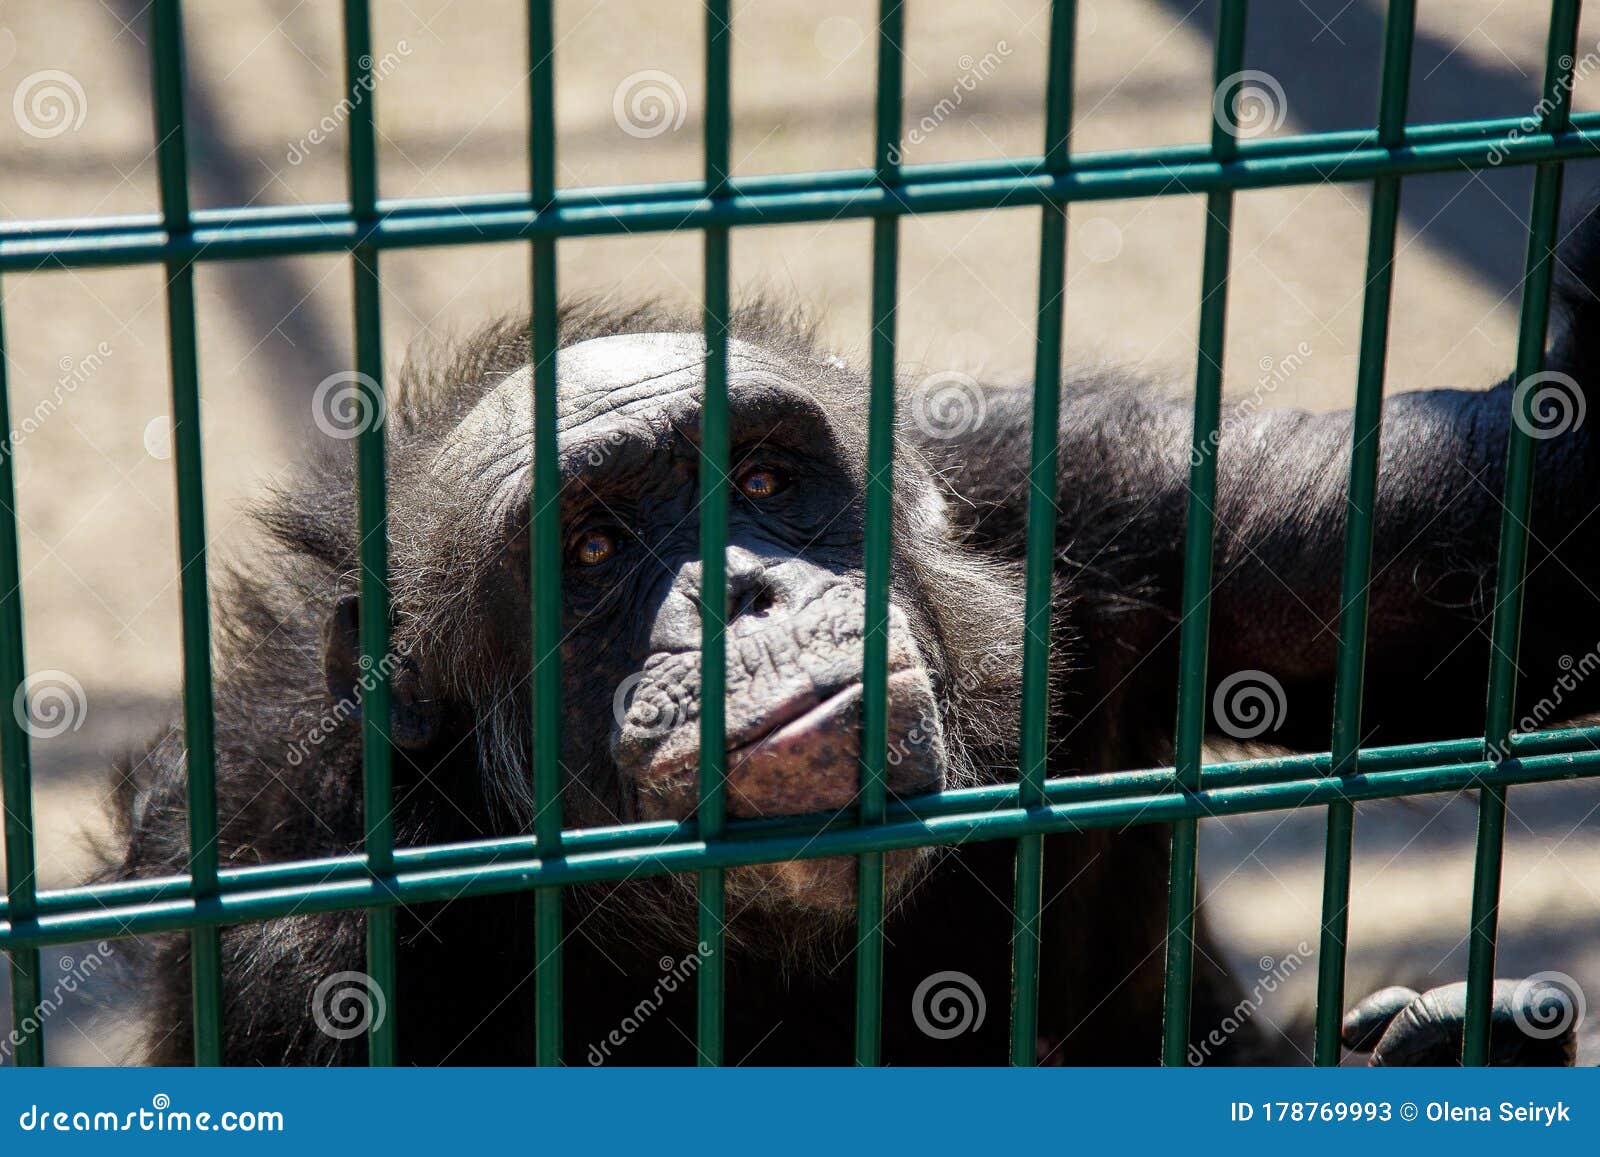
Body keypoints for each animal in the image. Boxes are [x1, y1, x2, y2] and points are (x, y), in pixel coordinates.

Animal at [102, 214, 1600, 1067]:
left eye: (765, 481)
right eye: (591, 548)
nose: (737, 590)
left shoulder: (1111, 506)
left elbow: (1526, 543)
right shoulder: (303, 963)